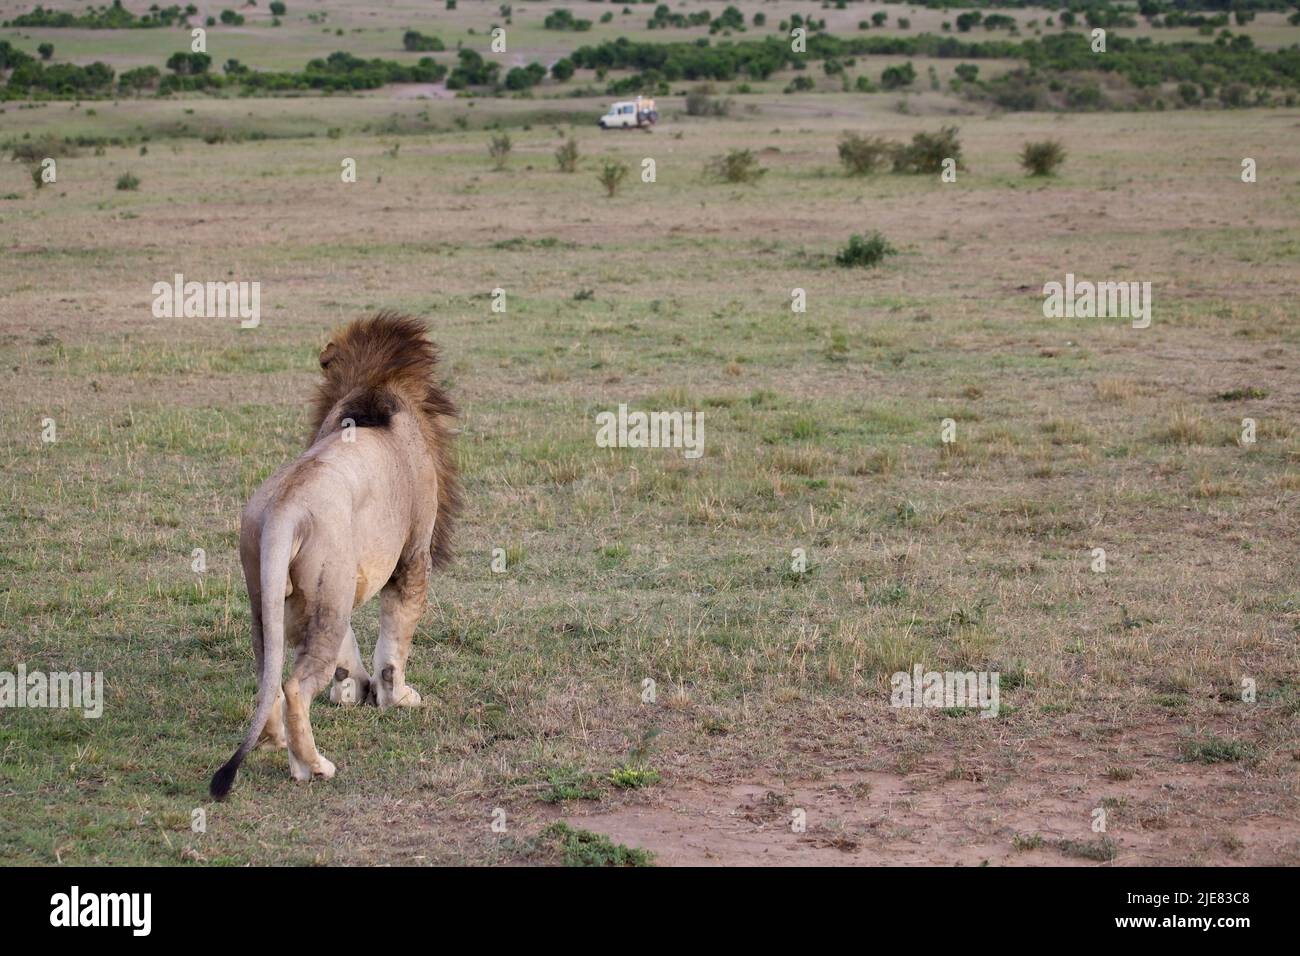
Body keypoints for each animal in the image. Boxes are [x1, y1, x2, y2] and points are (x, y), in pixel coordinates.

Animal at [209, 312, 460, 799]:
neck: (372, 385)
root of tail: (285, 507)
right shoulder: (412, 557)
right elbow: (394, 643)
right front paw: (396, 698)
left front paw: (351, 689)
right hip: (331, 590)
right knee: (293, 686)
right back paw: (312, 765)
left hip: (275, 594)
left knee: (269, 675)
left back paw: (274, 740)